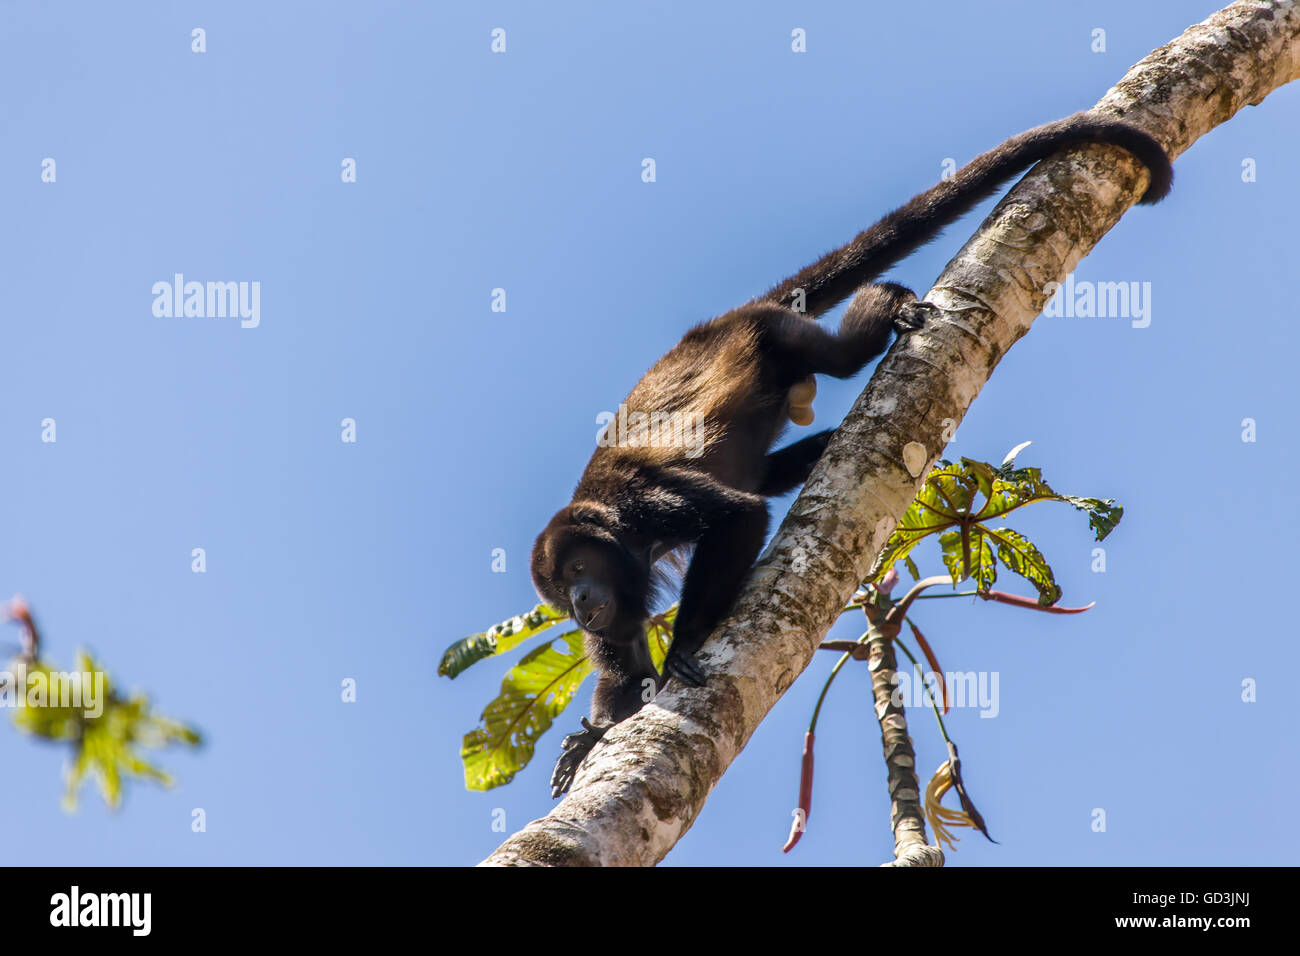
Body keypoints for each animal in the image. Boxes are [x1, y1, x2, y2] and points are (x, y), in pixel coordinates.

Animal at [531, 112, 1172, 797]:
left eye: (577, 570)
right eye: (559, 596)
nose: (579, 605)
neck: (611, 525)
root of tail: (730, 316)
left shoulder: (644, 501)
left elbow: (738, 518)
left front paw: (686, 643)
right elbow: (621, 664)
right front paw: (593, 737)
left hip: (777, 334)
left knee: (838, 361)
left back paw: (891, 302)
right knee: (787, 464)